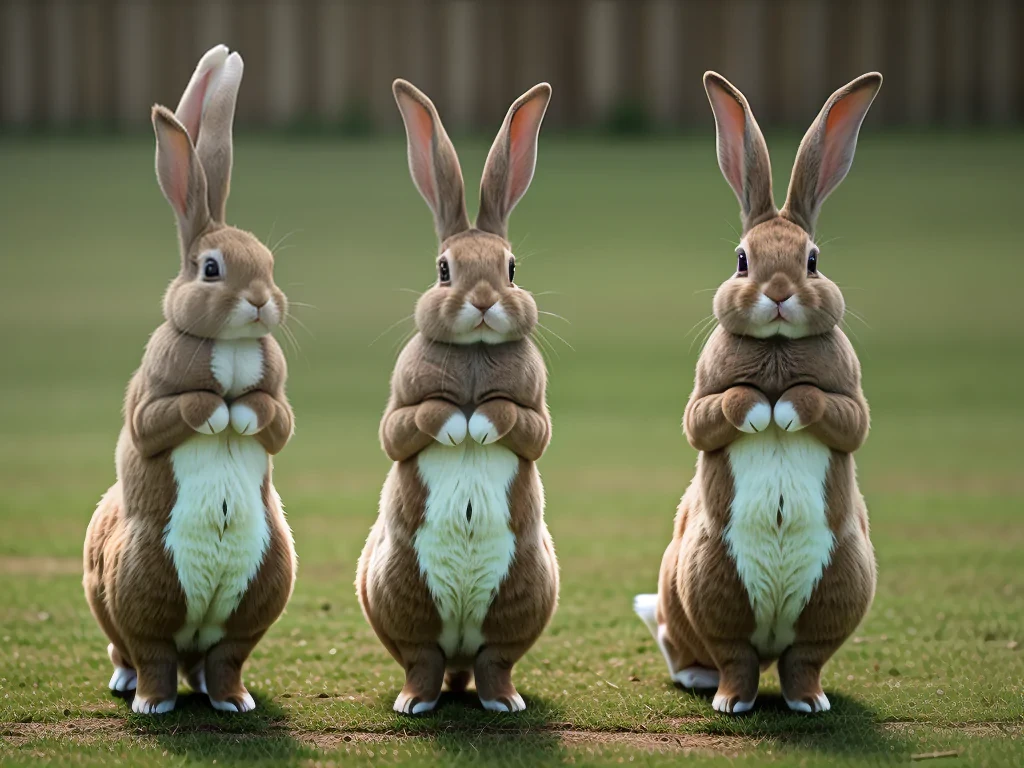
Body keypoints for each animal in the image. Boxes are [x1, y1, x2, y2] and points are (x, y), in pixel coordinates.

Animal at [82, 45, 296, 715]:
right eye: (211, 269)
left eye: (269, 264)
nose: (261, 302)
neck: (229, 345)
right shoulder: (152, 398)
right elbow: (168, 414)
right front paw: (218, 410)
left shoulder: (278, 396)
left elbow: (273, 418)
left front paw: (239, 414)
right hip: (138, 583)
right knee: (146, 653)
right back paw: (147, 699)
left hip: (263, 586)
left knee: (223, 657)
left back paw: (230, 700)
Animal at [356, 79, 558, 715]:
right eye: (444, 270)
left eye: (511, 268)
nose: (485, 301)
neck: (474, 353)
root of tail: (461, 657)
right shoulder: (400, 410)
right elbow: (410, 422)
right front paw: (457, 426)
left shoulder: (535, 413)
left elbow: (521, 422)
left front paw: (479, 425)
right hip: (401, 598)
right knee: (422, 661)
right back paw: (415, 703)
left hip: (523, 599)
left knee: (496, 662)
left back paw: (504, 703)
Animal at [634, 71, 882, 715]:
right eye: (742, 259)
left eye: (812, 260)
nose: (777, 292)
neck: (775, 348)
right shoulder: (704, 396)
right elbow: (715, 410)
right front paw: (762, 412)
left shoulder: (850, 399)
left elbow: (838, 413)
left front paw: (786, 411)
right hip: (705, 581)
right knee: (725, 655)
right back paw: (721, 696)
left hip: (840, 585)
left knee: (802, 661)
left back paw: (808, 703)